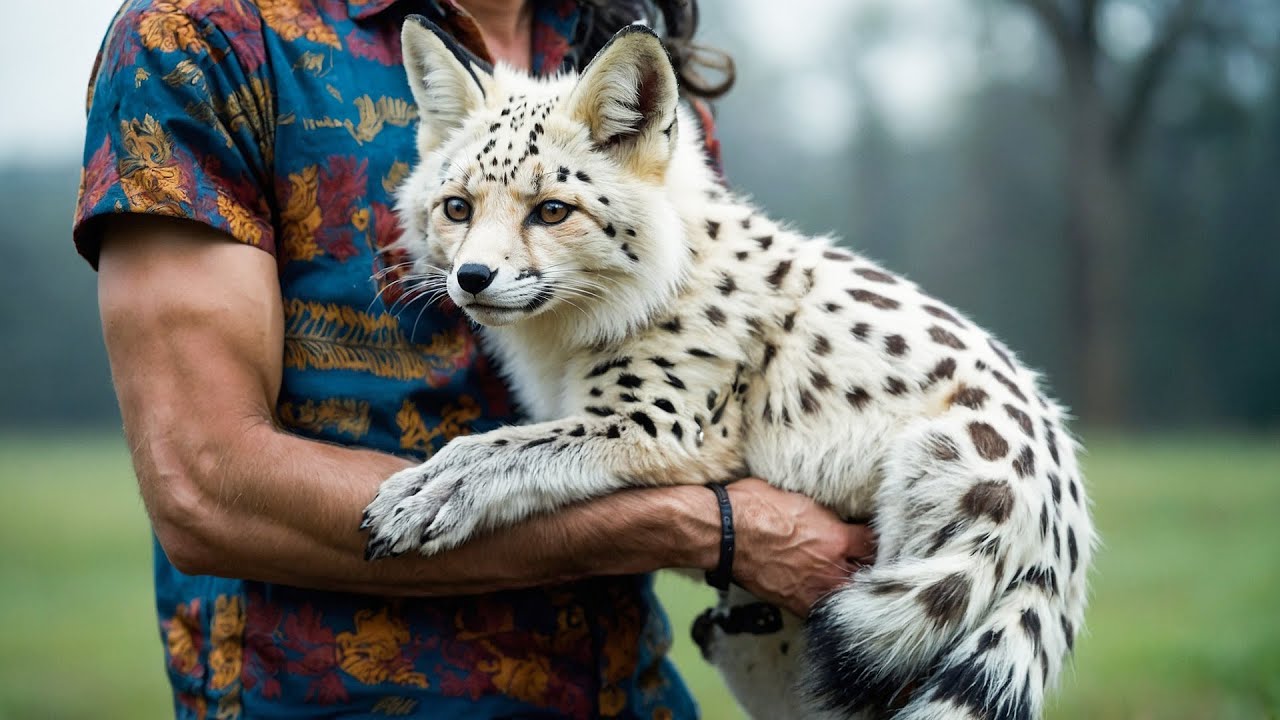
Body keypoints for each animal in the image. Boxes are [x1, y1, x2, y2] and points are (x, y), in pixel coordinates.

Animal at [361, 16, 1094, 719]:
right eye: (458, 208)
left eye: (552, 211)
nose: (471, 278)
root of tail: (1068, 531)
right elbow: (507, 444)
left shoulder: (663, 428)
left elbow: (500, 448)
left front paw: (426, 493)